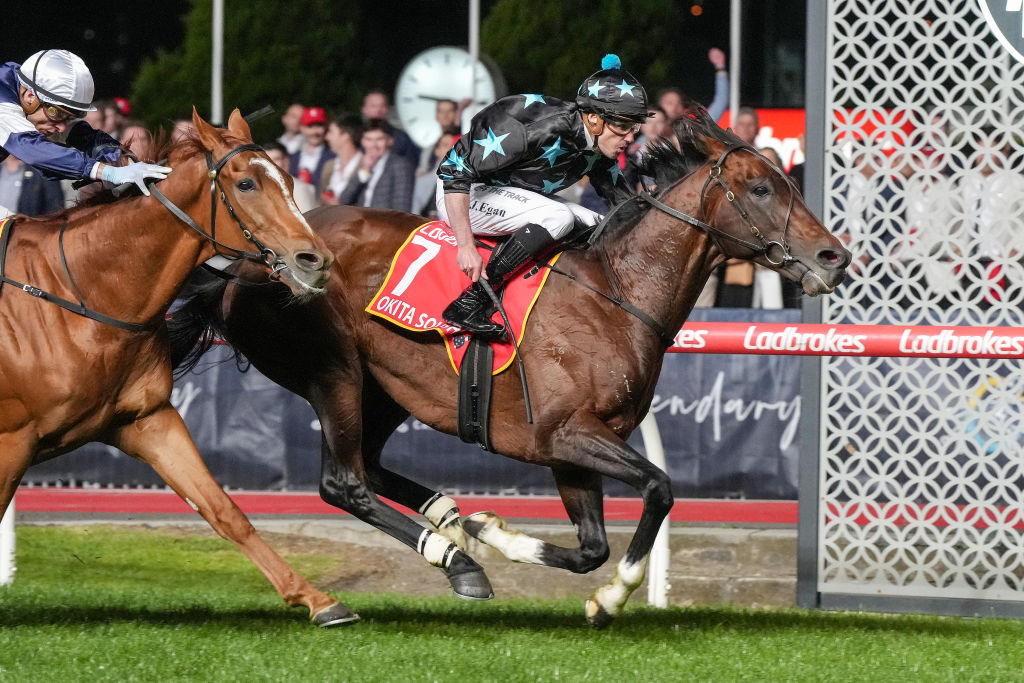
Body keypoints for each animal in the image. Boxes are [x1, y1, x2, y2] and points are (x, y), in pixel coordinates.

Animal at [0, 108, 359, 627]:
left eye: (292, 180)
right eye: (246, 183)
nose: (316, 261)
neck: (85, 291)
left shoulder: (147, 419)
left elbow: (223, 509)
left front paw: (318, 600)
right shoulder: (12, 440)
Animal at [169, 108, 851, 627]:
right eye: (762, 189)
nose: (834, 257)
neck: (616, 292)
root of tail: (246, 259)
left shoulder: (574, 449)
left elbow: (592, 547)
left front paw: (501, 535)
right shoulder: (564, 433)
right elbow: (659, 488)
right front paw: (607, 598)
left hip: (384, 390)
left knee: (367, 466)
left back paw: (452, 520)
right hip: (333, 373)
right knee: (344, 482)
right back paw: (457, 559)